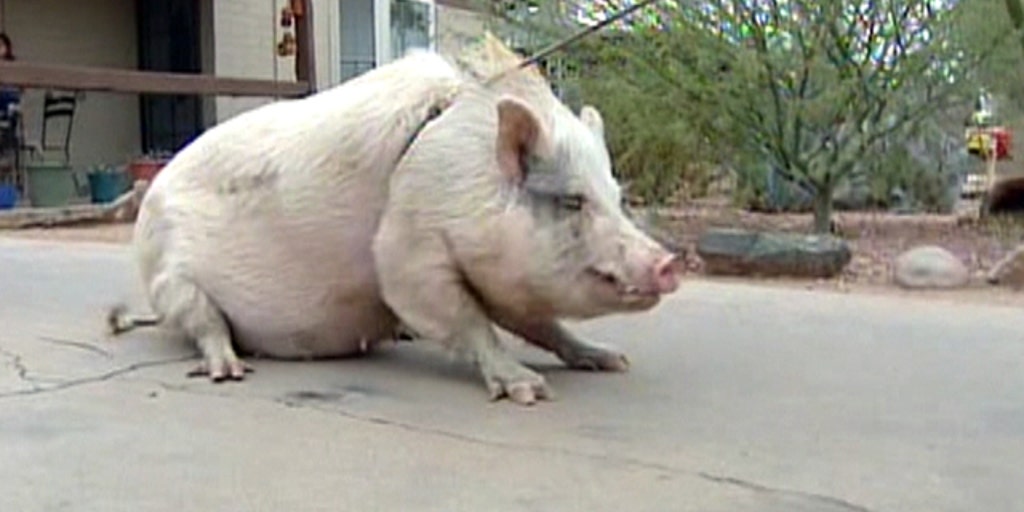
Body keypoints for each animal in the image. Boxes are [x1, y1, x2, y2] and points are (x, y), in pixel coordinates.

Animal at [370, 34, 682, 405]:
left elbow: (539, 323)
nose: (669, 262)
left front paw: (615, 360)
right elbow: (468, 319)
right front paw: (532, 392)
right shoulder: (407, 248)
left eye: (618, 198)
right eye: (572, 201)